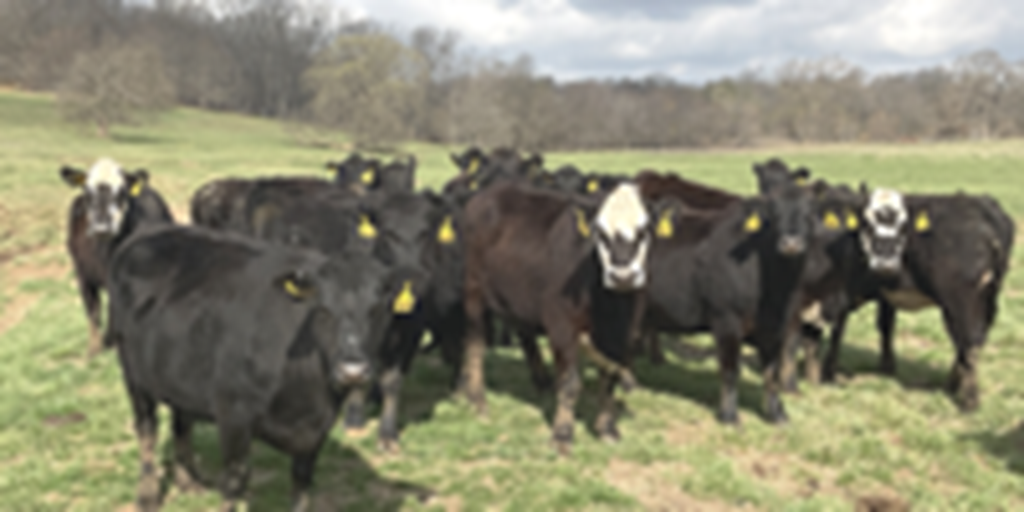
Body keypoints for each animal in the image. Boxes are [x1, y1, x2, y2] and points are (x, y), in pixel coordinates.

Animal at [59, 158, 173, 355]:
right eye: (87, 192)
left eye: (122, 193)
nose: (102, 227)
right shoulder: (86, 275)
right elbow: (95, 310)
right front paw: (96, 348)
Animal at [105, 225, 411, 511]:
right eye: (323, 309)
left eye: (378, 309)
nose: (353, 371)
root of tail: (150, 232)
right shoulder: (232, 415)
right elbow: (234, 481)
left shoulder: (315, 433)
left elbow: (301, 488)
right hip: (133, 373)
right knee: (147, 429)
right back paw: (147, 496)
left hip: (179, 373)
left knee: (182, 422)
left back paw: (188, 480)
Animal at [460, 181, 657, 454]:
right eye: (599, 232)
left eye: (644, 230)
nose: (623, 276)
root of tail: (489, 193)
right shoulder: (561, 326)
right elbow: (570, 383)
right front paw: (562, 435)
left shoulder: (624, 333)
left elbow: (608, 378)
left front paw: (607, 428)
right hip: (474, 294)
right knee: (475, 343)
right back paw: (477, 399)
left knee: (524, 333)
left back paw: (540, 382)